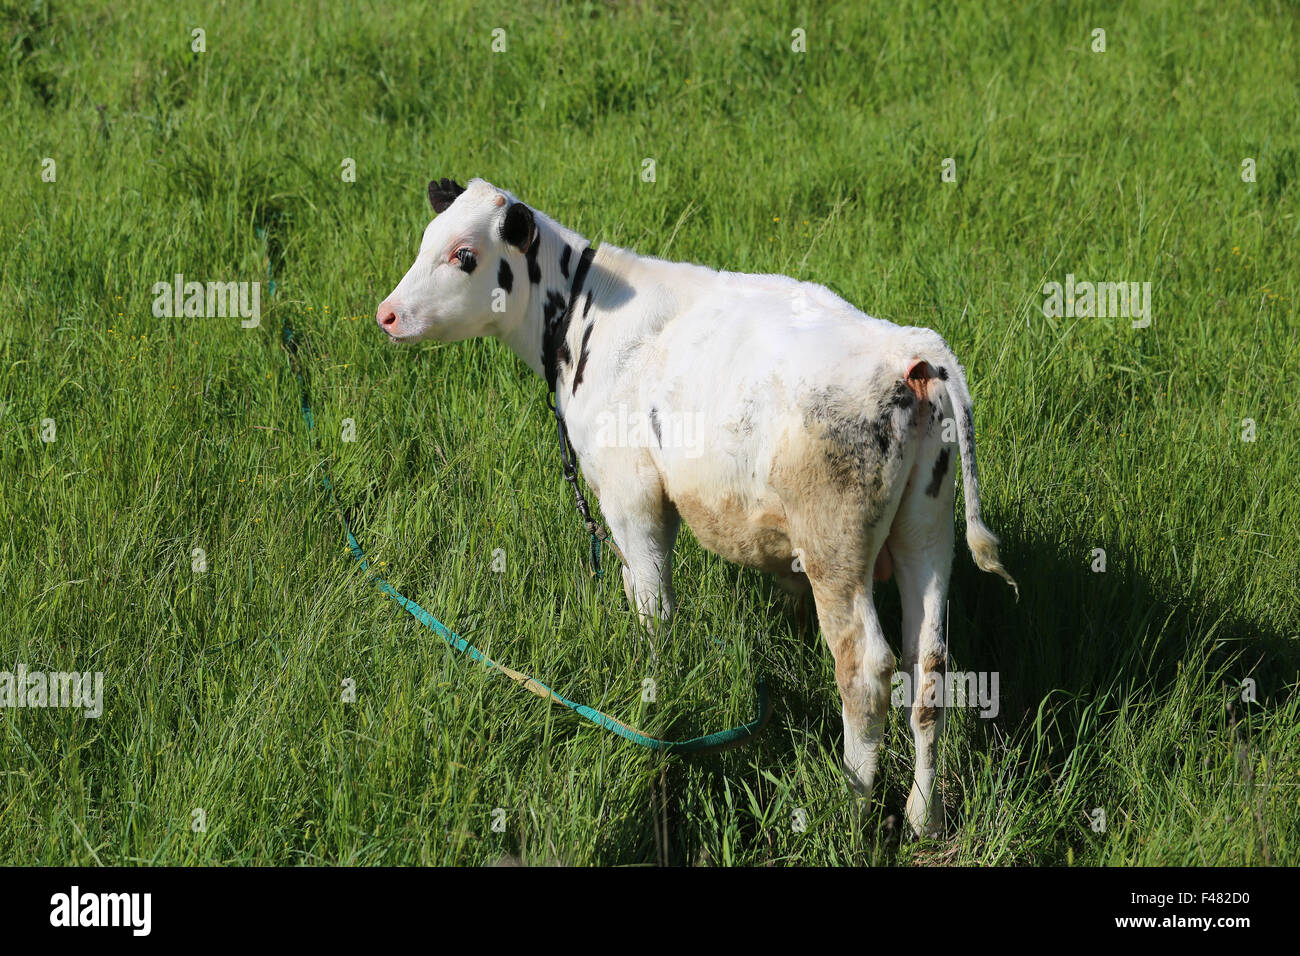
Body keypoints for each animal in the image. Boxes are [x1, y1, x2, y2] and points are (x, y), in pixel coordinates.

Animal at [376, 177, 1017, 836]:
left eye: (465, 255)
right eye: (427, 238)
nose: (387, 314)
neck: (583, 312)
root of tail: (910, 352)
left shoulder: (633, 496)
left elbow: (654, 605)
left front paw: (655, 693)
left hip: (835, 547)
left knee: (865, 670)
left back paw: (850, 807)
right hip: (927, 532)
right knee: (929, 669)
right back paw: (924, 815)